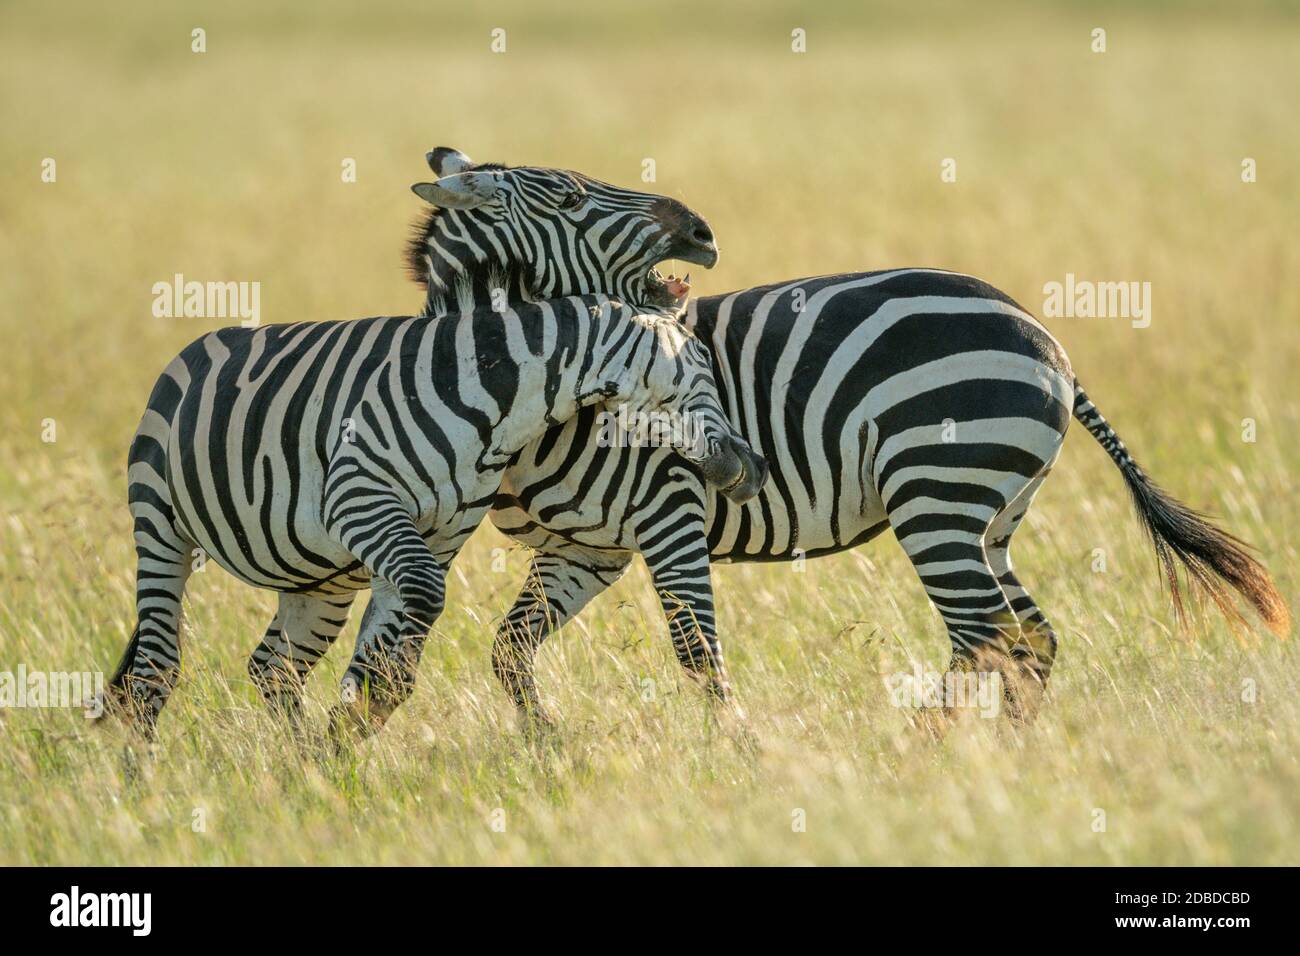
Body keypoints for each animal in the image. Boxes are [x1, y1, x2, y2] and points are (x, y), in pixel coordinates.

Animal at [102, 154, 767, 739]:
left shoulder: (441, 533)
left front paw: (347, 735)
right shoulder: (360, 501)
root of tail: (200, 343)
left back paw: (297, 767)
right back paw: (143, 783)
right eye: (570, 197)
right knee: (152, 675)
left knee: (274, 668)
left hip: (318, 577)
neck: (490, 392)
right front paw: (357, 723)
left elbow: (390, 652)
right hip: (160, 527)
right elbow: (414, 614)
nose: (755, 467)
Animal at [476, 270, 1290, 725]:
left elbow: (698, 652)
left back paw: (921, 748)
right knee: (1030, 639)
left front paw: (737, 759)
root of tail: (1051, 345)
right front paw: (545, 748)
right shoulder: (584, 549)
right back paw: (1010, 756)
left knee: (985, 634)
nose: (738, 467)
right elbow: (509, 652)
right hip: (992, 516)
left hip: (935, 491)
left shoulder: (665, 513)